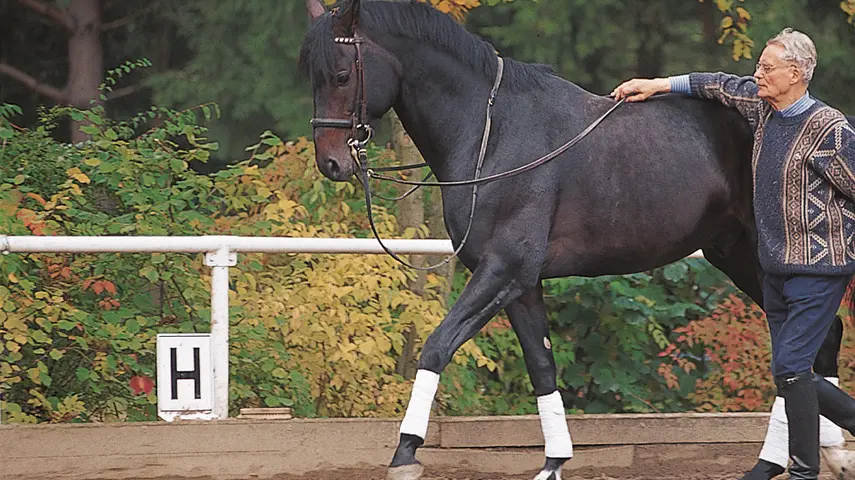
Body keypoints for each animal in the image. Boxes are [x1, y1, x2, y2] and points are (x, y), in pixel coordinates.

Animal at [299, 1, 852, 478]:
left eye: (342, 74)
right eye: (313, 75)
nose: (333, 163)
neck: (492, 134)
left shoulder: (503, 269)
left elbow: (436, 347)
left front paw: (406, 453)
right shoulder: (520, 284)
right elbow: (542, 366)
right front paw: (554, 462)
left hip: (765, 261)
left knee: (807, 350)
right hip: (737, 256)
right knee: (813, 349)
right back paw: (809, 455)